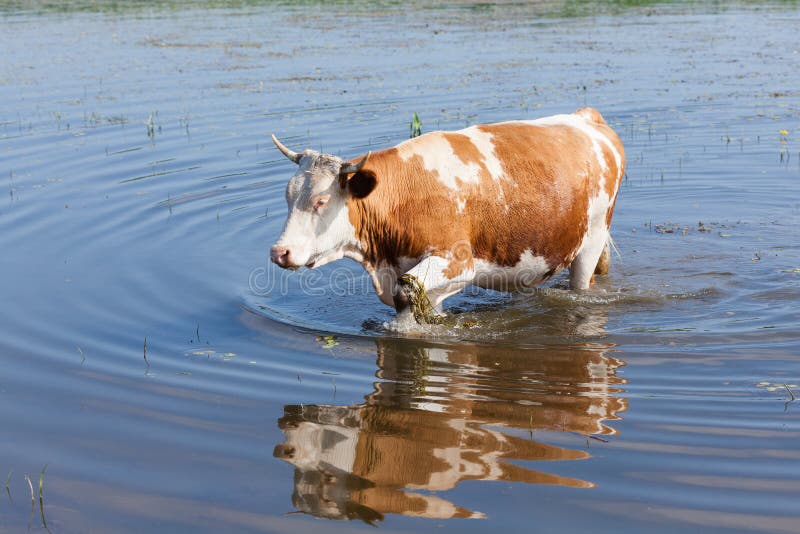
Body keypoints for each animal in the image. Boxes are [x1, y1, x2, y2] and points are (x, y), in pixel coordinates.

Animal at [269, 107, 625, 324]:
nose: (279, 252)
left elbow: (406, 293)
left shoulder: (458, 261)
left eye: (321, 201)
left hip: (591, 241)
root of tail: (586, 118)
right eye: (288, 197)